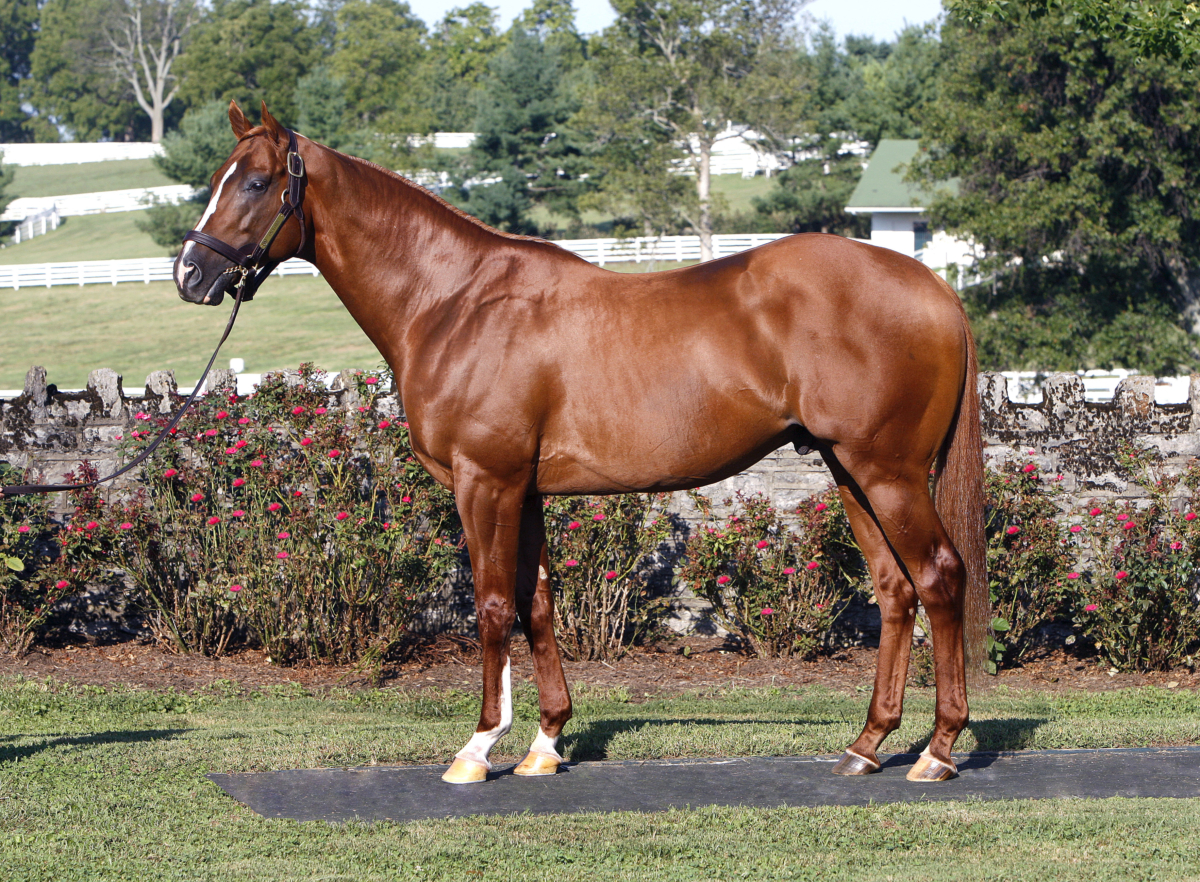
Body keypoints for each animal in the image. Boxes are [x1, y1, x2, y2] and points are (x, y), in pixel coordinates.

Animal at [175, 101, 988, 785]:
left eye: (255, 181)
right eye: (217, 179)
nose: (191, 272)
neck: (455, 302)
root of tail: (935, 289)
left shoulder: (485, 482)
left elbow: (492, 605)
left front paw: (478, 748)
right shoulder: (525, 489)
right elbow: (536, 604)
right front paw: (544, 743)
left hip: (888, 473)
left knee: (940, 578)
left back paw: (939, 751)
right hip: (850, 473)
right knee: (895, 592)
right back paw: (867, 745)